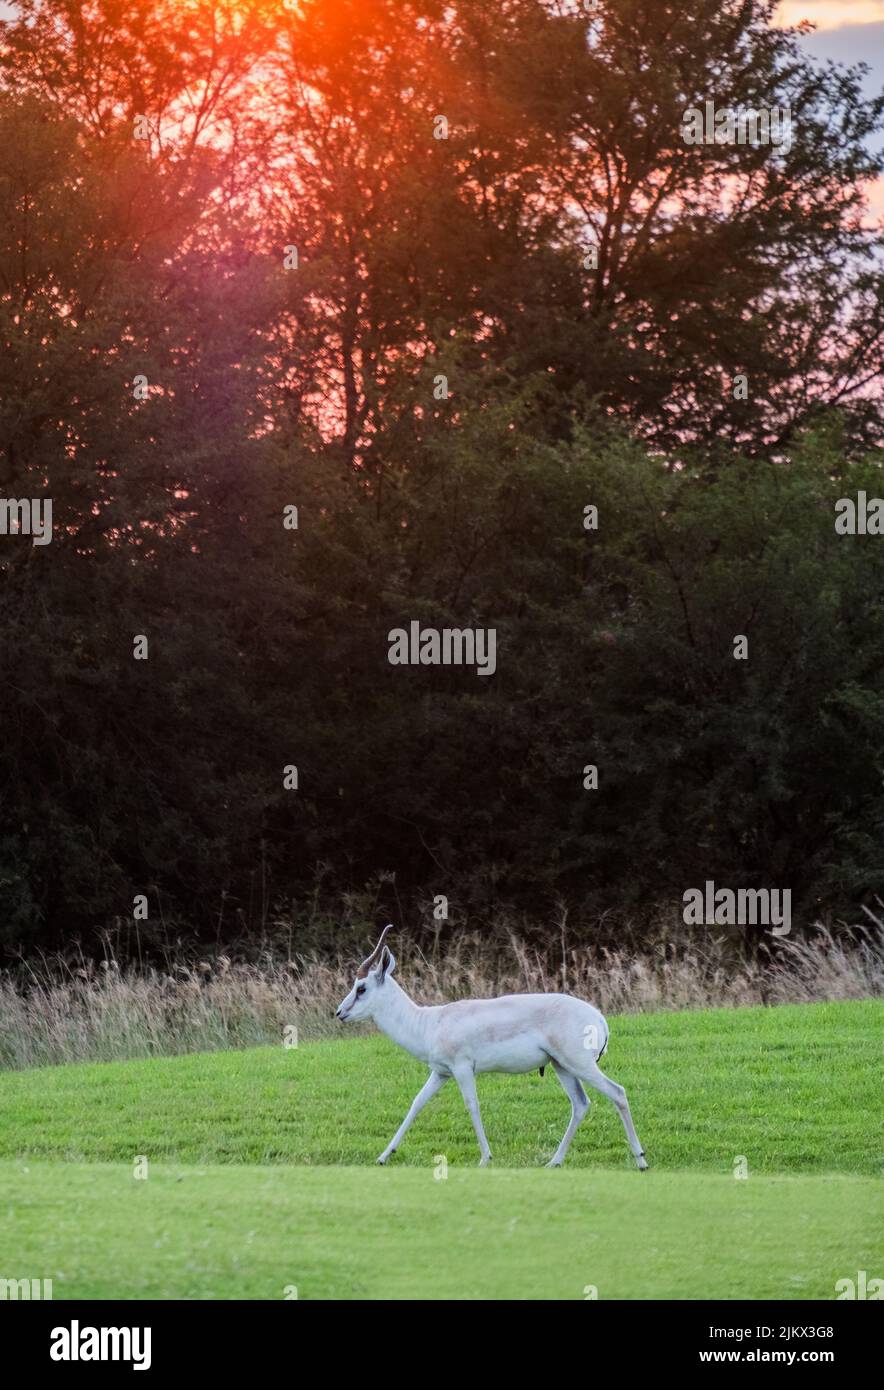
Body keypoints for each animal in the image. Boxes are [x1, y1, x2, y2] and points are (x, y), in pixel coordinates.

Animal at [335, 926, 648, 1169]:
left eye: (361, 988)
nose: (339, 1013)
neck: (430, 1023)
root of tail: (599, 1018)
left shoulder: (462, 1068)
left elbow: (472, 1104)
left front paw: (485, 1158)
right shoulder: (441, 1072)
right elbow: (417, 1103)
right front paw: (383, 1156)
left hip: (579, 1064)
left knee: (617, 1093)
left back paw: (641, 1160)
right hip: (562, 1066)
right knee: (581, 1104)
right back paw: (554, 1161)